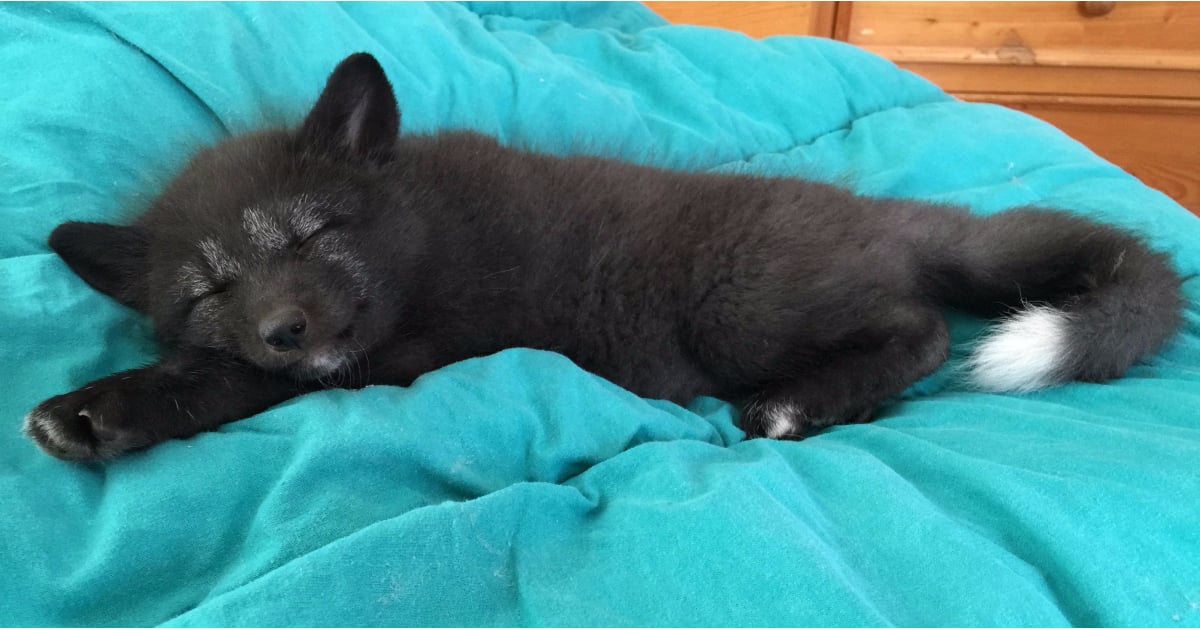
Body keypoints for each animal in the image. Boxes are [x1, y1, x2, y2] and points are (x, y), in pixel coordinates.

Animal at [25, 53, 1183, 461]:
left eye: (314, 232)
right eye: (210, 289)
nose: (283, 328)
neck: (419, 230)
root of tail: (884, 213)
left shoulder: (405, 354)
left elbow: (232, 383)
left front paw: (108, 407)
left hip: (740, 311)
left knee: (924, 330)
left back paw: (796, 405)